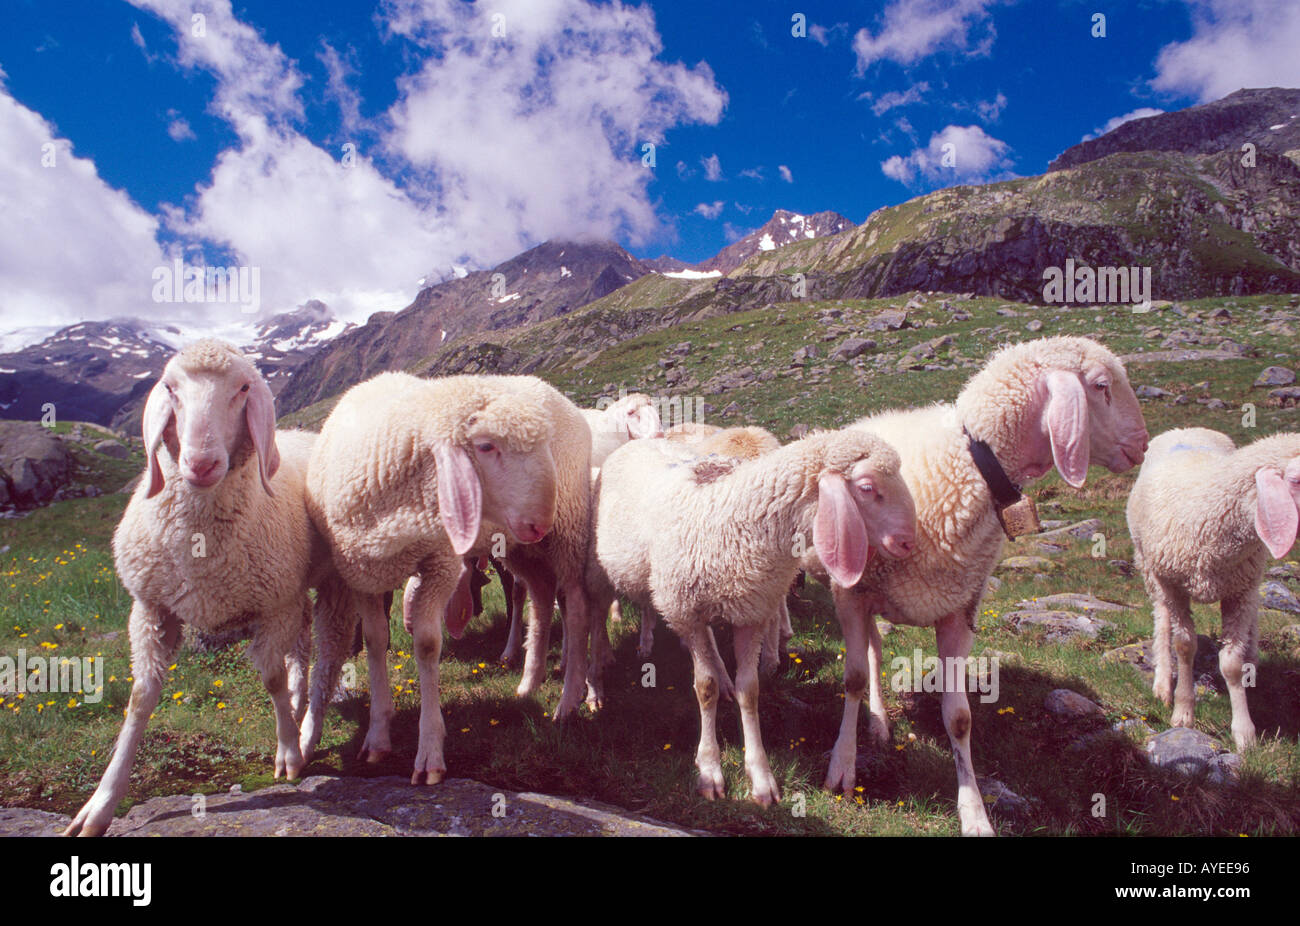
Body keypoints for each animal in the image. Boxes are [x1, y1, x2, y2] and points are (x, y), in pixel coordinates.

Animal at [65, 340, 329, 837]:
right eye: (170, 388)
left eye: (243, 388)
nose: (201, 463)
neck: (201, 548)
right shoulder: (149, 607)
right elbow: (139, 699)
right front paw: (100, 805)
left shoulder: (272, 605)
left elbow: (270, 677)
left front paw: (288, 751)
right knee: (301, 639)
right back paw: (298, 696)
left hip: (302, 587)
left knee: (307, 646)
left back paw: (299, 708)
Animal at [299, 371, 594, 784]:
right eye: (485, 446)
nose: (539, 521)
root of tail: (546, 387)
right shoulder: (362, 573)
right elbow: (375, 641)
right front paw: (377, 736)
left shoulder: (440, 562)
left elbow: (426, 645)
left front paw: (430, 752)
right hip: (520, 546)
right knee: (542, 596)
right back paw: (529, 683)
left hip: (567, 530)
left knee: (576, 606)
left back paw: (567, 702)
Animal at [589, 429, 916, 804]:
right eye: (866, 487)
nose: (909, 542)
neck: (739, 516)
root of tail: (641, 440)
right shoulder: (688, 609)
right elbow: (705, 687)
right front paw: (709, 768)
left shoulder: (750, 611)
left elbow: (750, 690)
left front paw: (760, 777)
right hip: (609, 572)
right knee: (603, 618)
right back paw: (600, 679)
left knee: (653, 606)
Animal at [807, 335, 1150, 836]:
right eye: (1102, 385)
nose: (1143, 445)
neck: (968, 463)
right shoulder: (849, 593)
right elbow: (851, 679)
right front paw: (842, 767)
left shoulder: (961, 609)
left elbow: (960, 718)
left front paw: (974, 812)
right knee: (867, 655)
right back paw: (874, 723)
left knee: (875, 648)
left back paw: (880, 724)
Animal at [1127, 428, 1300, 751]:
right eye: (1295, 479)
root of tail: (1186, 428)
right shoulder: (1174, 585)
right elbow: (1184, 646)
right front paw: (1183, 711)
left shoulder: (1239, 591)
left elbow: (1231, 663)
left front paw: (1244, 733)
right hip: (1149, 567)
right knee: (1162, 618)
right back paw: (1162, 684)